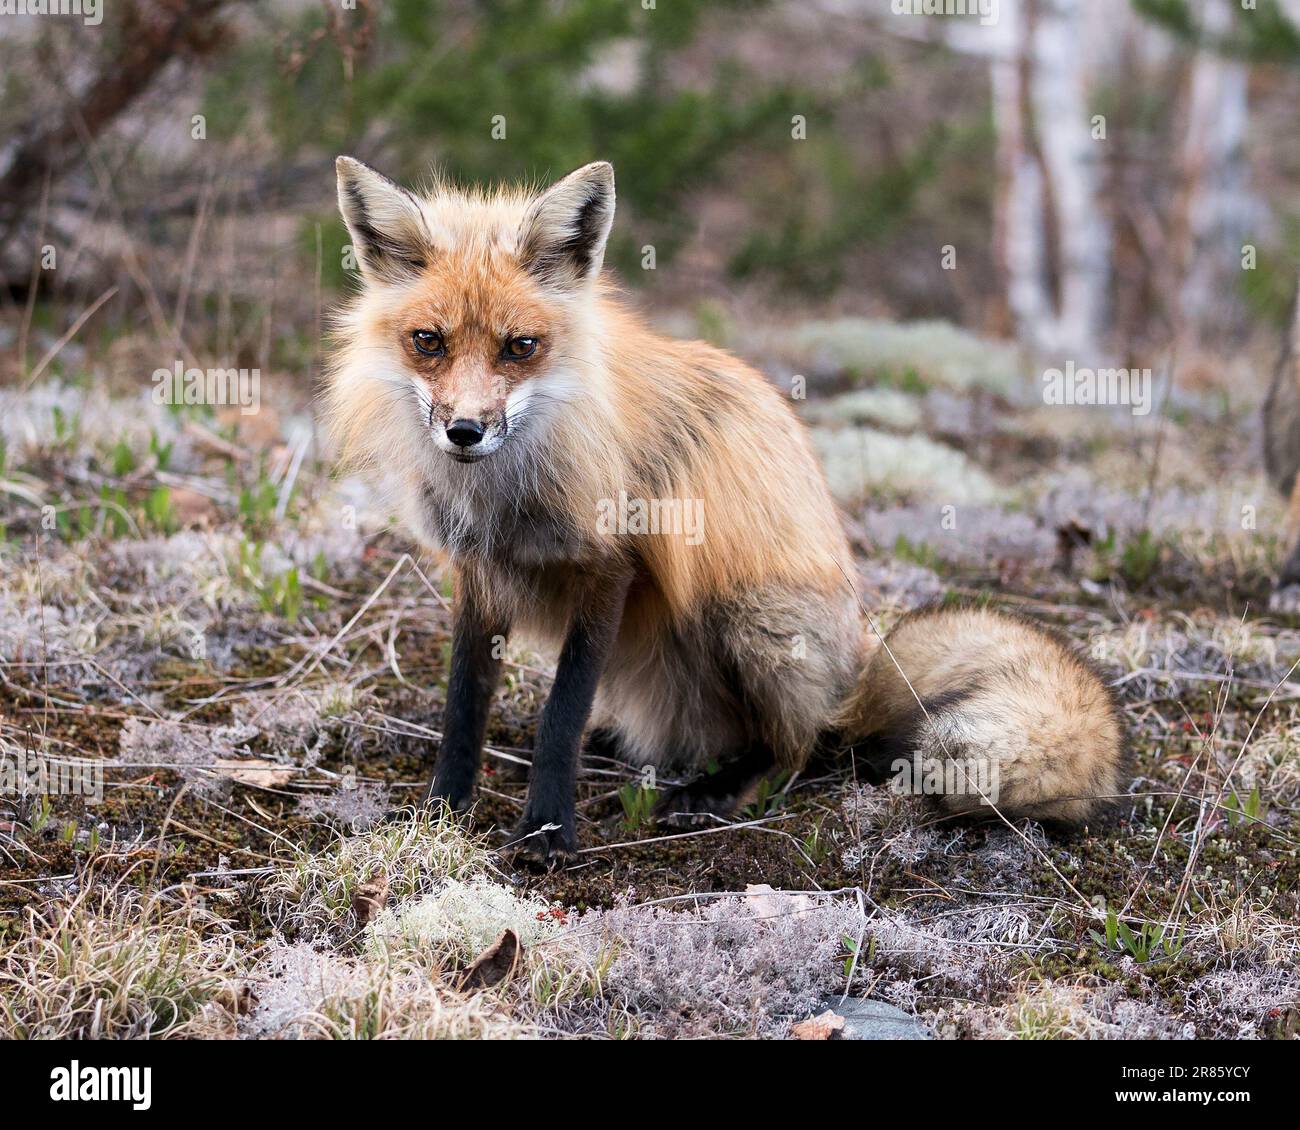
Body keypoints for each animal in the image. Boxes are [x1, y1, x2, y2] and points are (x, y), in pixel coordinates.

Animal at [325, 156, 1126, 862]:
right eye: (428, 342)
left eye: (520, 346)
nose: (465, 431)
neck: (506, 493)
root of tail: (854, 673)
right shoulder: (478, 572)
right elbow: (464, 705)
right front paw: (441, 813)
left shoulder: (611, 565)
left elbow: (561, 713)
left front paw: (548, 831)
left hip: (750, 615)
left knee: (799, 746)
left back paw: (720, 786)